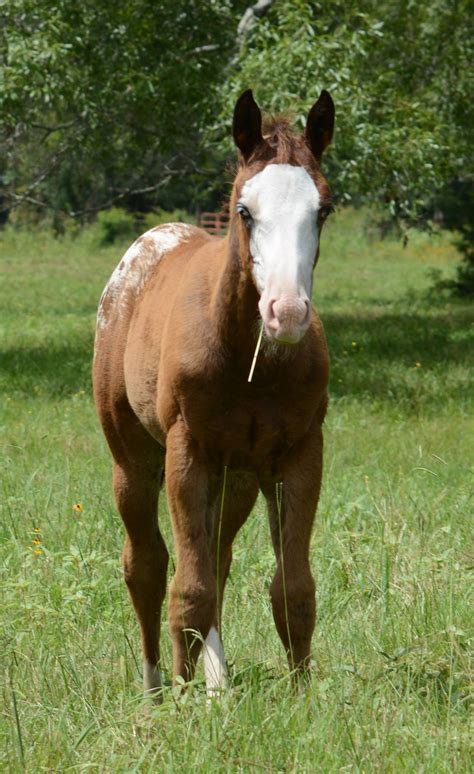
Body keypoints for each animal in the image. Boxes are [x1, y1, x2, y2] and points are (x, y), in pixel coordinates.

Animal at [93, 88, 335, 699]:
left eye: (323, 210)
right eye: (244, 211)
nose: (286, 313)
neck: (250, 366)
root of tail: (153, 239)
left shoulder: (300, 455)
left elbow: (293, 590)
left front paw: (301, 699)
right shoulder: (188, 454)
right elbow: (189, 588)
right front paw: (181, 701)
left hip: (239, 478)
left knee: (216, 556)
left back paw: (216, 682)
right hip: (134, 460)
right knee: (151, 564)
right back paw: (159, 686)